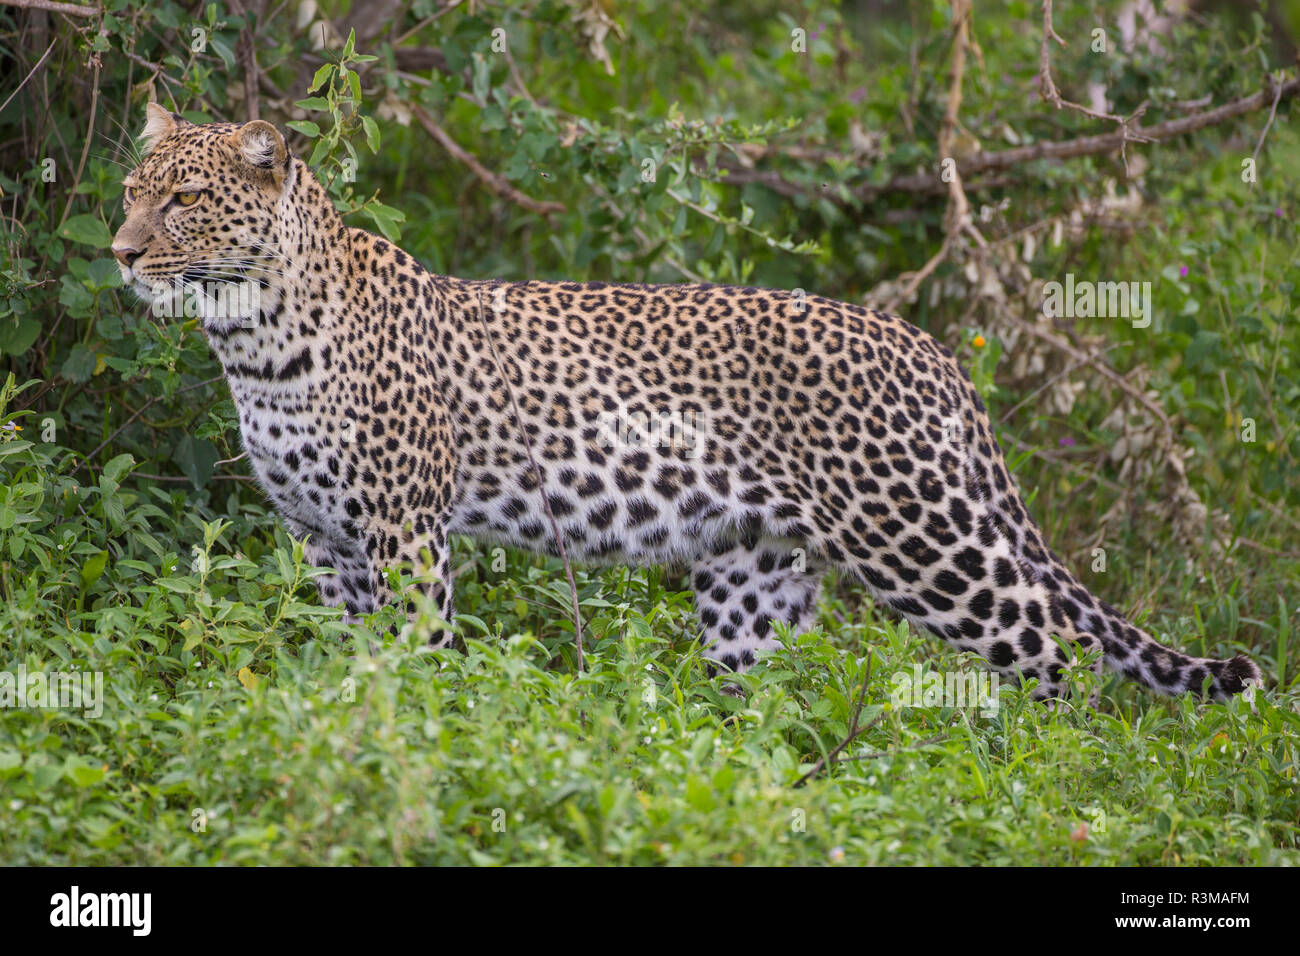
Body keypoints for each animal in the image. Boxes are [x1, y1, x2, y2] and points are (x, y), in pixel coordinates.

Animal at [111, 104, 1261, 703]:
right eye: (130, 190)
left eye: (185, 198)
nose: (118, 252)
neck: (254, 339)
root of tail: (930, 346)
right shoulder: (323, 539)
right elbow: (356, 664)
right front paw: (363, 724)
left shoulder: (403, 531)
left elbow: (422, 655)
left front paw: (433, 736)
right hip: (757, 573)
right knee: (761, 699)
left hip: (923, 539)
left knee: (1057, 655)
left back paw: (1047, 775)